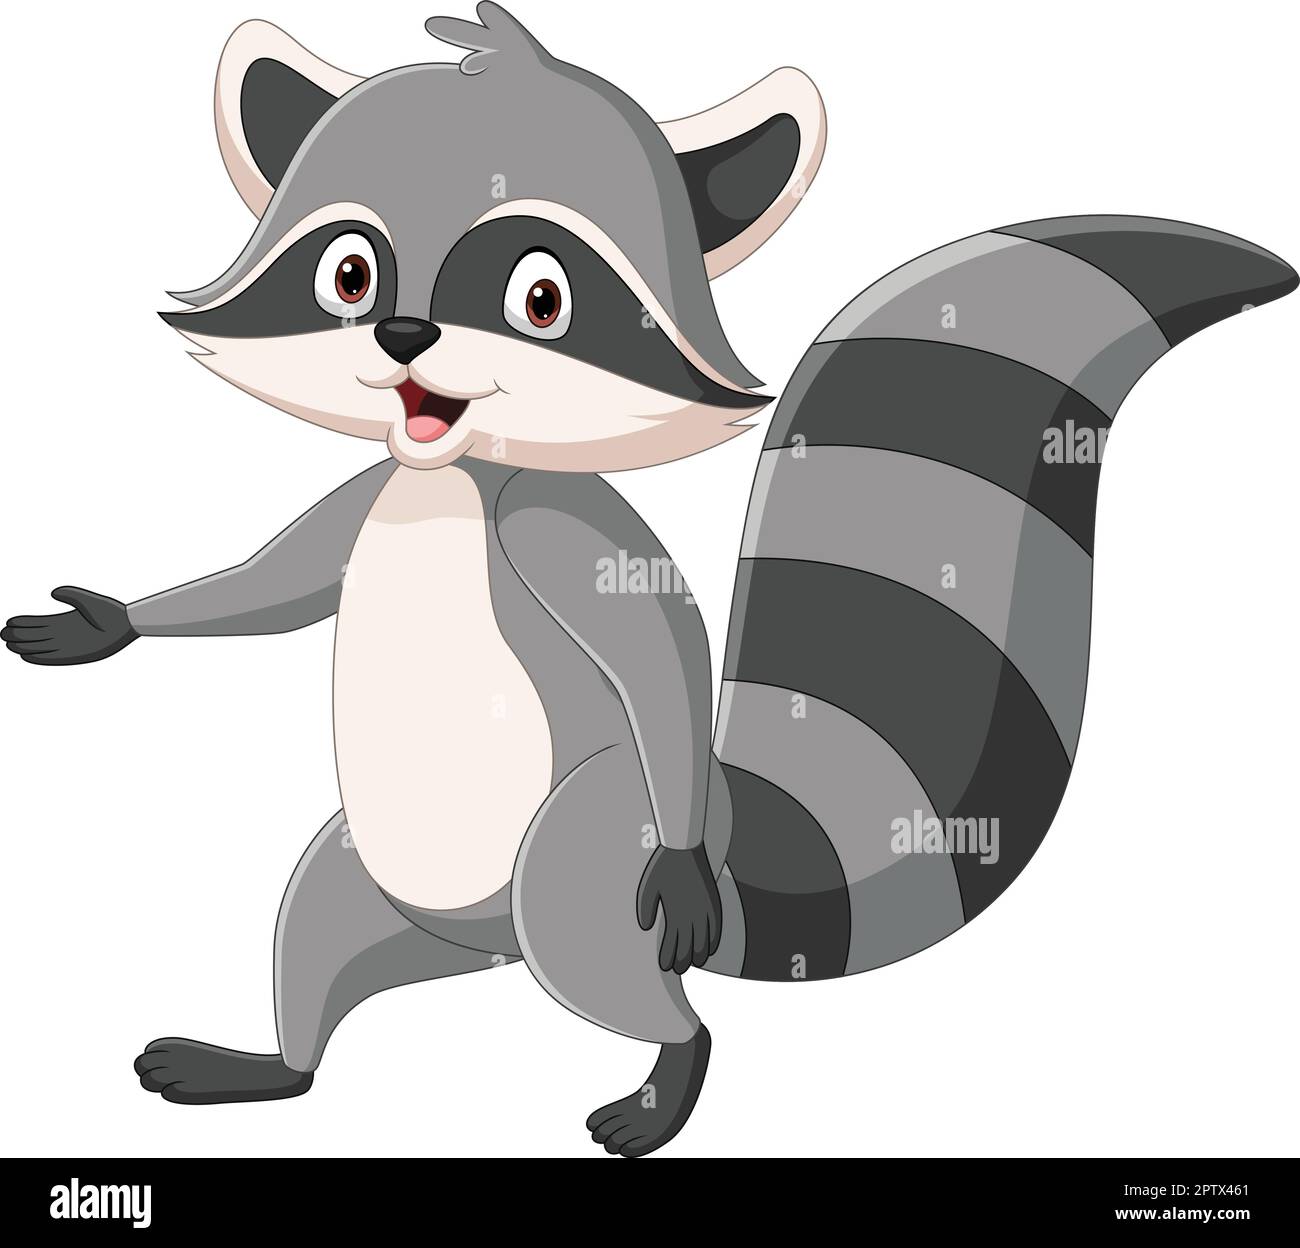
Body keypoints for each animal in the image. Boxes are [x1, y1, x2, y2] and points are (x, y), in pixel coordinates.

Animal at [4, 4, 1295, 1156]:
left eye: (541, 296)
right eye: (349, 274)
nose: (404, 335)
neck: (454, 476)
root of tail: (480, 940)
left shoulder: (557, 527)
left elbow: (653, 654)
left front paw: (676, 871)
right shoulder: (375, 490)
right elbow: (277, 585)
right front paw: (113, 620)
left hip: (583, 845)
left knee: (597, 940)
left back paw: (673, 1063)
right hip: (377, 872)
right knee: (315, 924)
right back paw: (274, 1063)